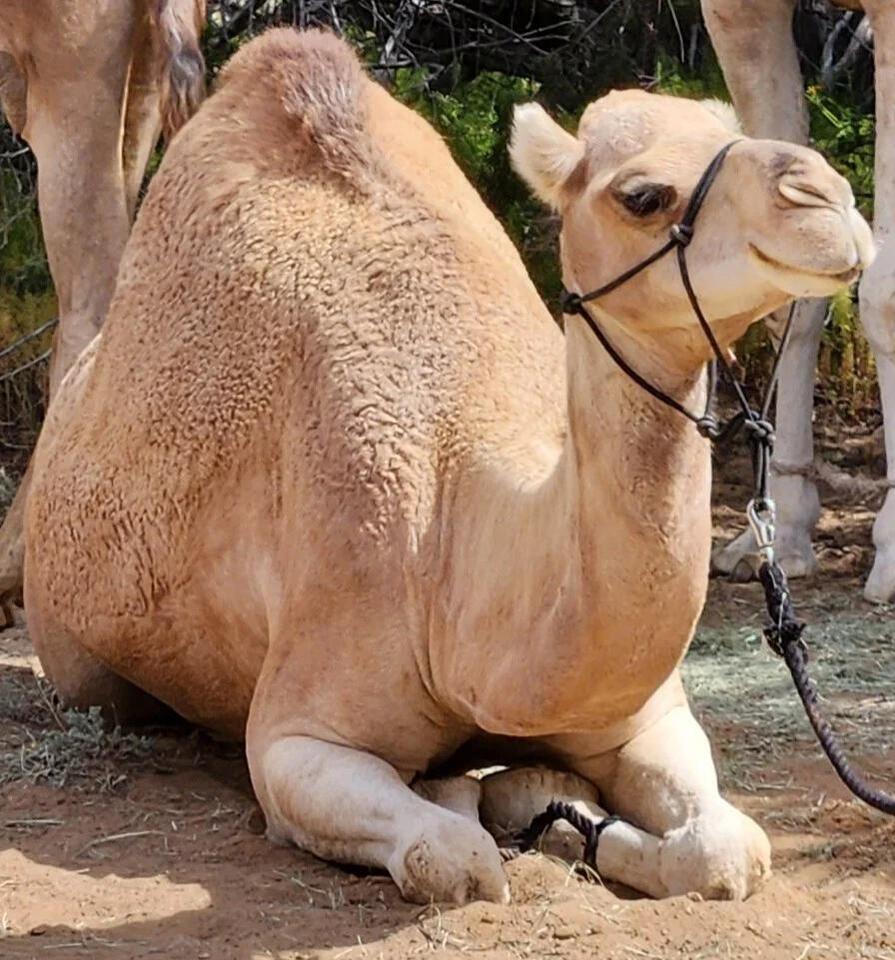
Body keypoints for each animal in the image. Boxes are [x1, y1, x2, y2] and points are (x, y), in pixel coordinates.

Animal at [23, 28, 873, 904]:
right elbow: (454, 859)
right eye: (642, 195)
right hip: (77, 650)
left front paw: (549, 803)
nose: (825, 198)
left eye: (726, 125)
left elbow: (728, 851)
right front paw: (489, 801)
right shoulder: (298, 730)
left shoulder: (645, 718)